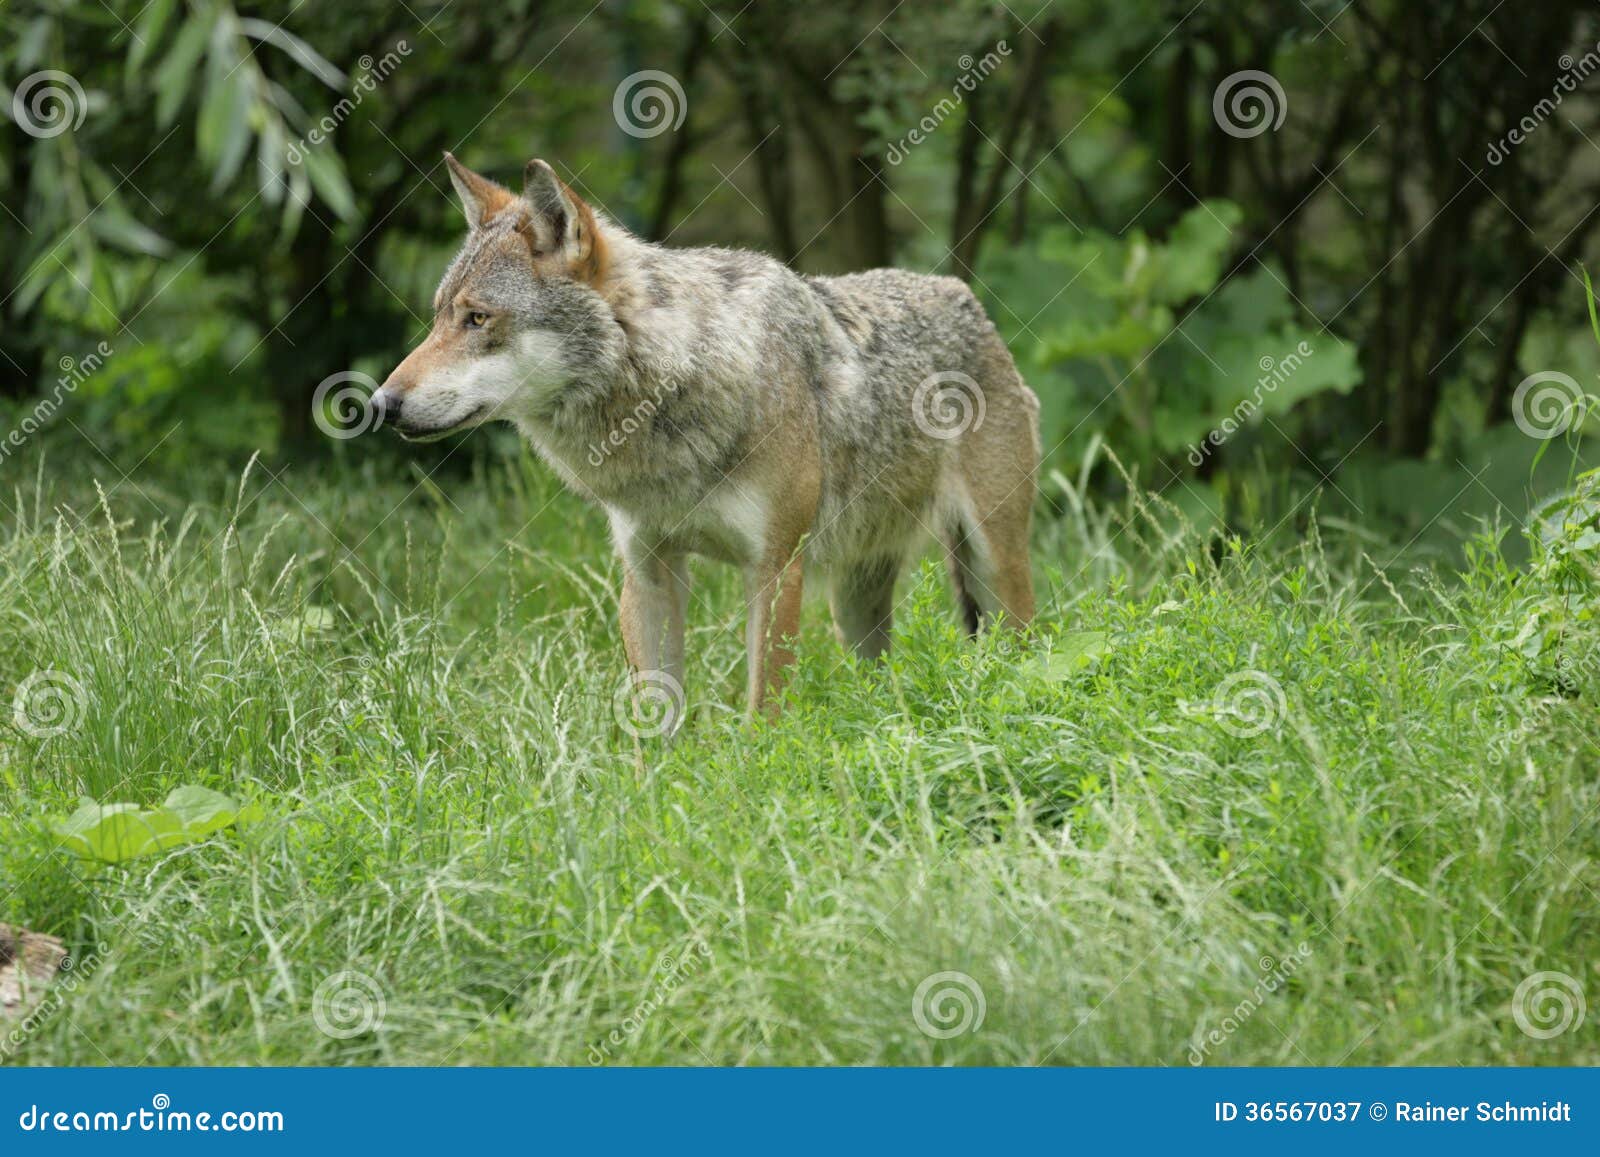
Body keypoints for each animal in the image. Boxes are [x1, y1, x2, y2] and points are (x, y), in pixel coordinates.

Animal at [373, 154, 1038, 728]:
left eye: (478, 319)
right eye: (438, 316)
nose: (380, 405)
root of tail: (968, 299)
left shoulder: (775, 568)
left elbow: (763, 708)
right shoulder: (648, 570)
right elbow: (652, 718)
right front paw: (651, 791)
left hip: (993, 565)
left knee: (1023, 644)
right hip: (856, 599)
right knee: (879, 675)